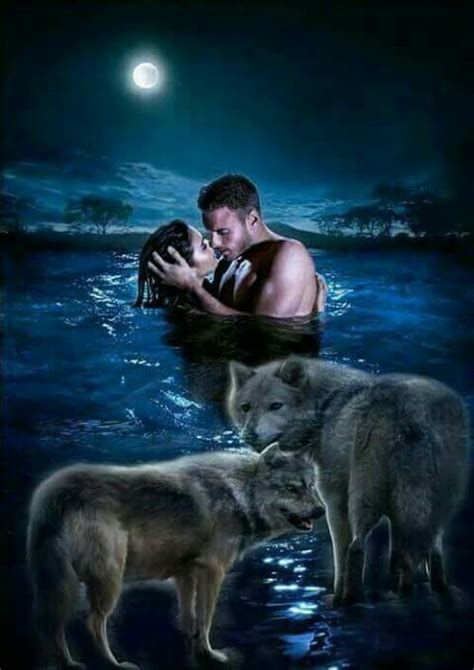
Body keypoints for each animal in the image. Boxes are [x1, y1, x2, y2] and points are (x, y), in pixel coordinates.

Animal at [27, 445, 323, 669]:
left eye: (311, 485)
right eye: (291, 488)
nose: (321, 511)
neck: (239, 493)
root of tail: (51, 491)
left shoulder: (186, 574)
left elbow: (190, 617)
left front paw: (193, 648)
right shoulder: (213, 571)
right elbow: (206, 618)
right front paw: (211, 655)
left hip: (62, 584)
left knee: (51, 622)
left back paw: (67, 664)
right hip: (108, 581)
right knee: (91, 622)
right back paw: (114, 665)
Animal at [227, 355, 470, 606]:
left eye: (275, 405)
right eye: (245, 407)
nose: (249, 433)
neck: (325, 408)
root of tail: (413, 410)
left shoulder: (334, 502)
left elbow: (341, 556)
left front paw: (337, 593)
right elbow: (401, 555)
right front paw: (404, 592)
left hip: (363, 498)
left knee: (357, 547)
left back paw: (346, 601)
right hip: (438, 505)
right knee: (432, 549)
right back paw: (436, 593)